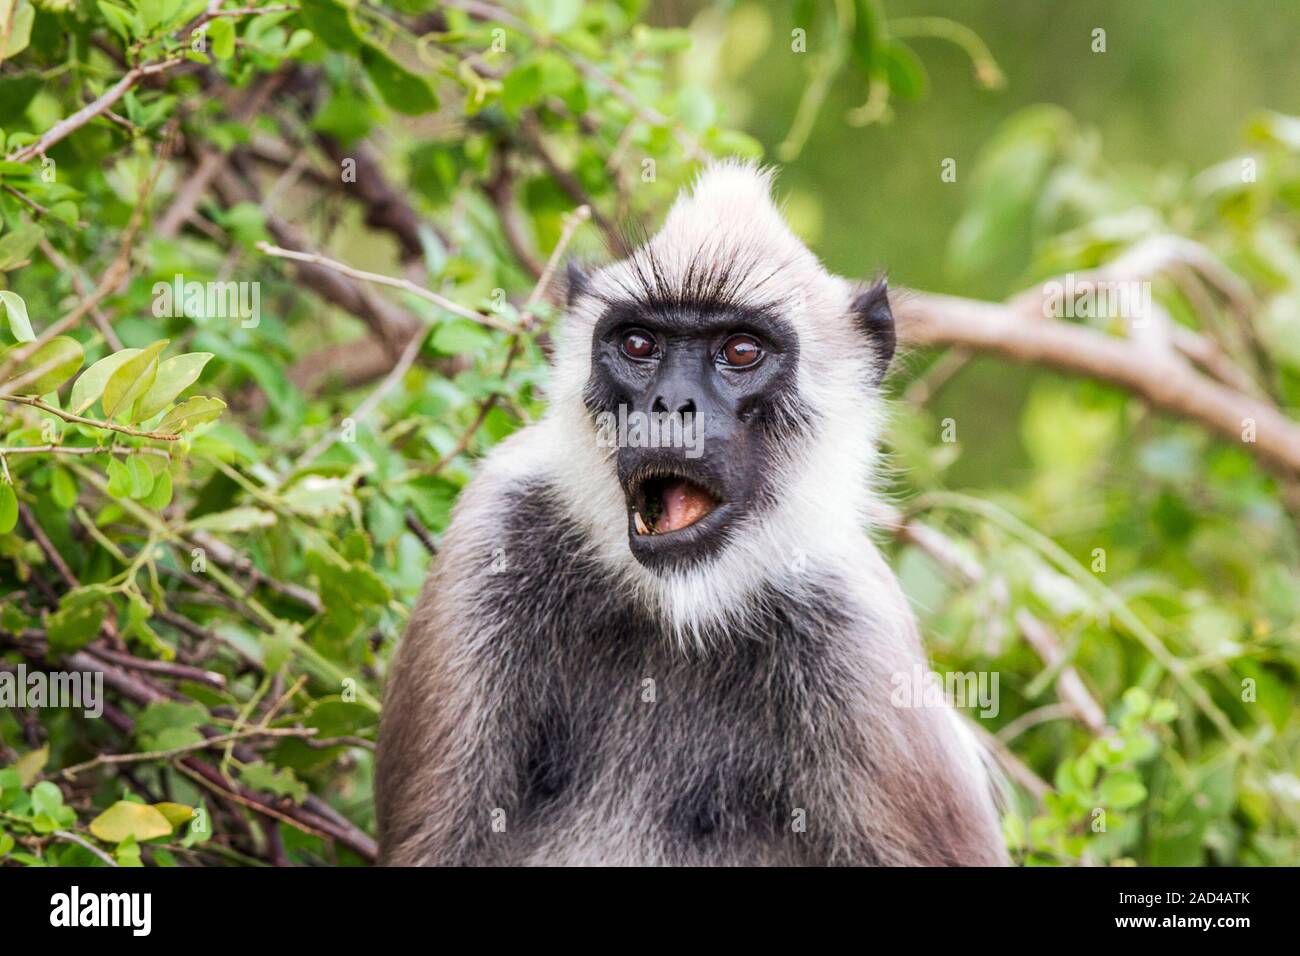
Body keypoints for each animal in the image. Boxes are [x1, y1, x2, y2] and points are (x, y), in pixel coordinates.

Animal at [375, 161, 1008, 866]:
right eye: (638, 343)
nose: (670, 404)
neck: (676, 605)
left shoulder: (858, 633)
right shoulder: (496, 526)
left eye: (741, 351)